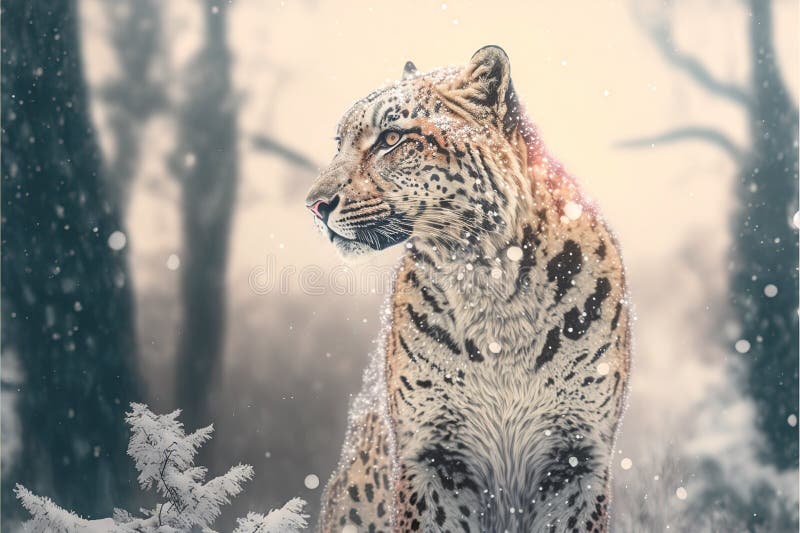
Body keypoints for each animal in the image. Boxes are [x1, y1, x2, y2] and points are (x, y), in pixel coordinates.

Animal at [304, 46, 631, 533]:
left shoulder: (575, 457)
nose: (315, 204)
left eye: (391, 139)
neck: (493, 287)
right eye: (339, 142)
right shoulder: (433, 456)